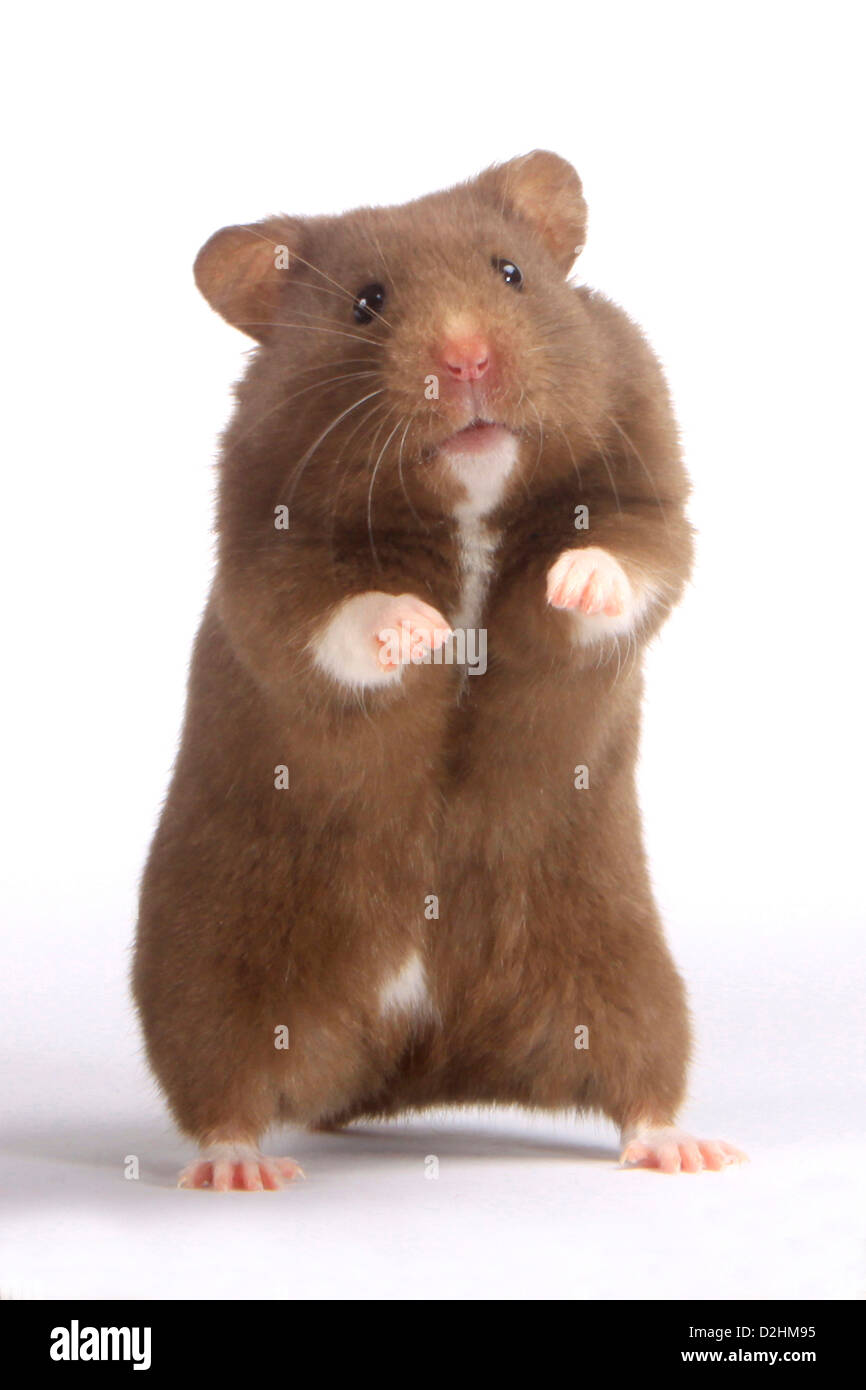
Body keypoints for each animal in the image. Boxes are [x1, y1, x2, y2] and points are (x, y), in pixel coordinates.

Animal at [133, 151, 745, 1189]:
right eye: (367, 303)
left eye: (511, 273)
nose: (465, 361)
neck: (469, 498)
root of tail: (415, 1057)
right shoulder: (269, 571)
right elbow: (338, 621)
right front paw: (425, 632)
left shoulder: (649, 493)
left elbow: (631, 562)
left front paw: (568, 579)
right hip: (212, 972)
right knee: (228, 1085)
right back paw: (239, 1169)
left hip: (621, 960)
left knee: (639, 1071)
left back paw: (689, 1150)